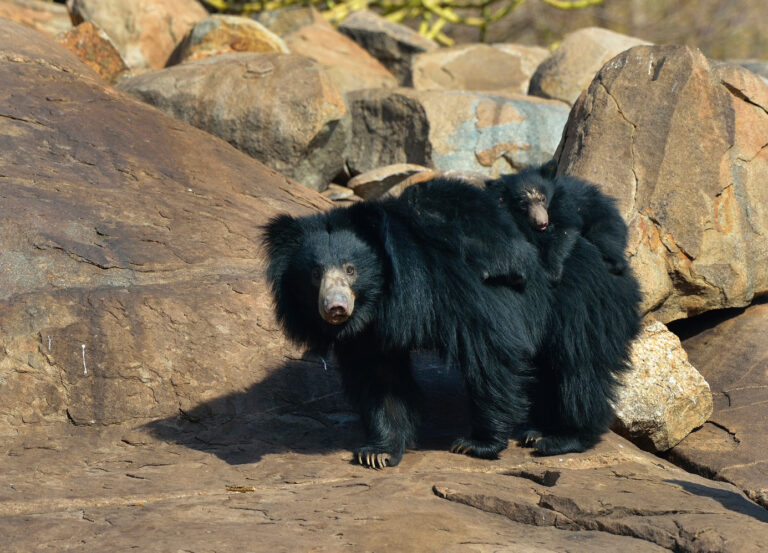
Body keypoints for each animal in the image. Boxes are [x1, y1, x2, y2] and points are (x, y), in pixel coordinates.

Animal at [487, 168, 629, 283]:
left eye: (542, 199)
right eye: (523, 204)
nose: (541, 222)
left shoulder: (565, 205)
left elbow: (564, 233)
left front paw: (552, 273)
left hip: (603, 219)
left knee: (606, 241)